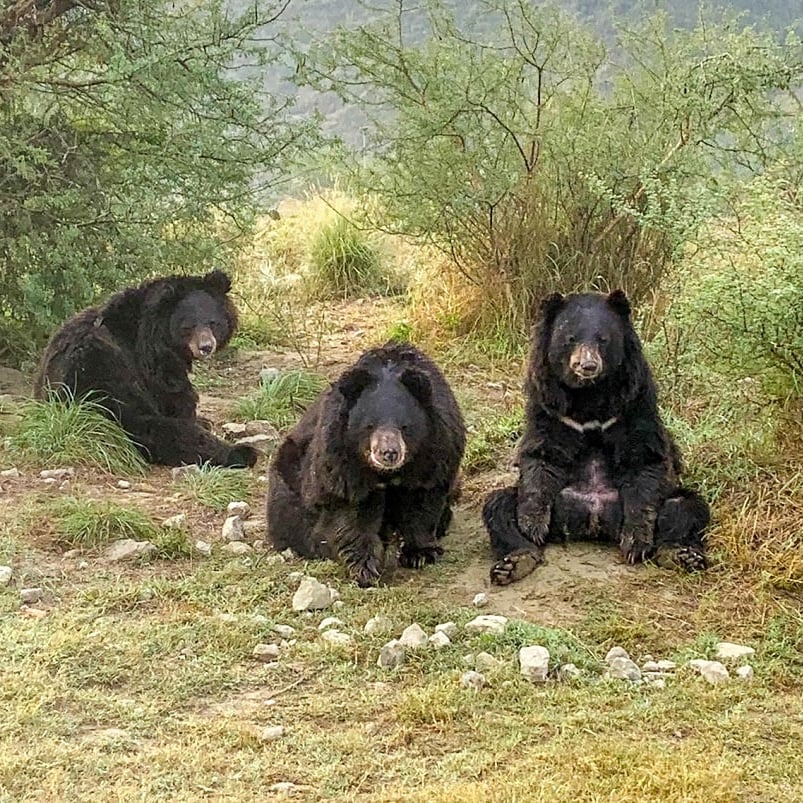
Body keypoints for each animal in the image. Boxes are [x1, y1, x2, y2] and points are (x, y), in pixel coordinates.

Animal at [33, 270, 257, 469]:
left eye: (213, 323)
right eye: (188, 326)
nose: (206, 347)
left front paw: (202, 419)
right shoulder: (150, 363)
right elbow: (175, 396)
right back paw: (240, 452)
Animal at [266, 343, 466, 587]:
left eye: (404, 426)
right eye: (369, 425)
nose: (389, 453)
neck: (386, 474)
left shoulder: (435, 452)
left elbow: (421, 500)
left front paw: (420, 553)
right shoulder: (343, 463)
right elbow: (352, 514)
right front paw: (365, 569)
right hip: (290, 476)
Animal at [482, 289, 710, 585]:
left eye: (603, 339)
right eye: (570, 338)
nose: (587, 365)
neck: (589, 394)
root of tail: (595, 522)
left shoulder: (634, 402)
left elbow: (644, 457)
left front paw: (635, 542)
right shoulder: (548, 405)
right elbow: (542, 455)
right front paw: (532, 525)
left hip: (668, 500)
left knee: (686, 508)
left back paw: (680, 555)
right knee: (498, 507)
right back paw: (515, 561)